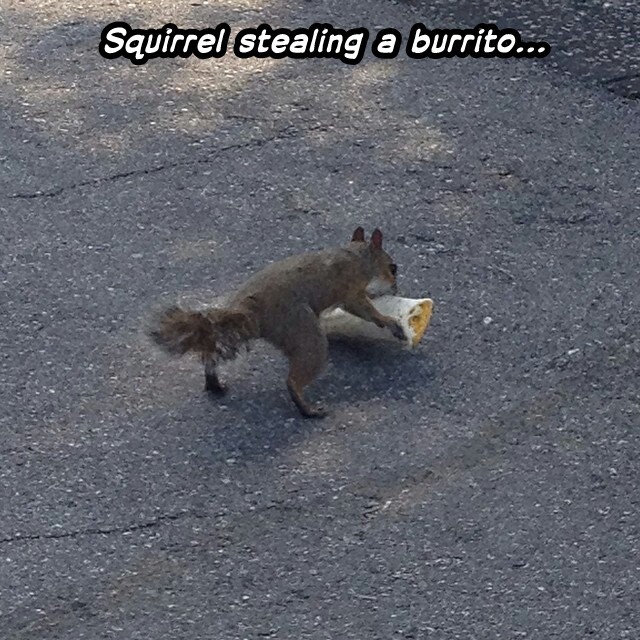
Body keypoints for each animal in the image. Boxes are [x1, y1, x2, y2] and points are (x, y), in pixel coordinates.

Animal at [148, 227, 405, 418]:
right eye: (392, 268)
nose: (395, 288)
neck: (357, 256)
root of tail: (251, 314)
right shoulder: (349, 289)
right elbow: (363, 309)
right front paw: (389, 321)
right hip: (303, 331)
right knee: (294, 378)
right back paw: (308, 409)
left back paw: (214, 384)